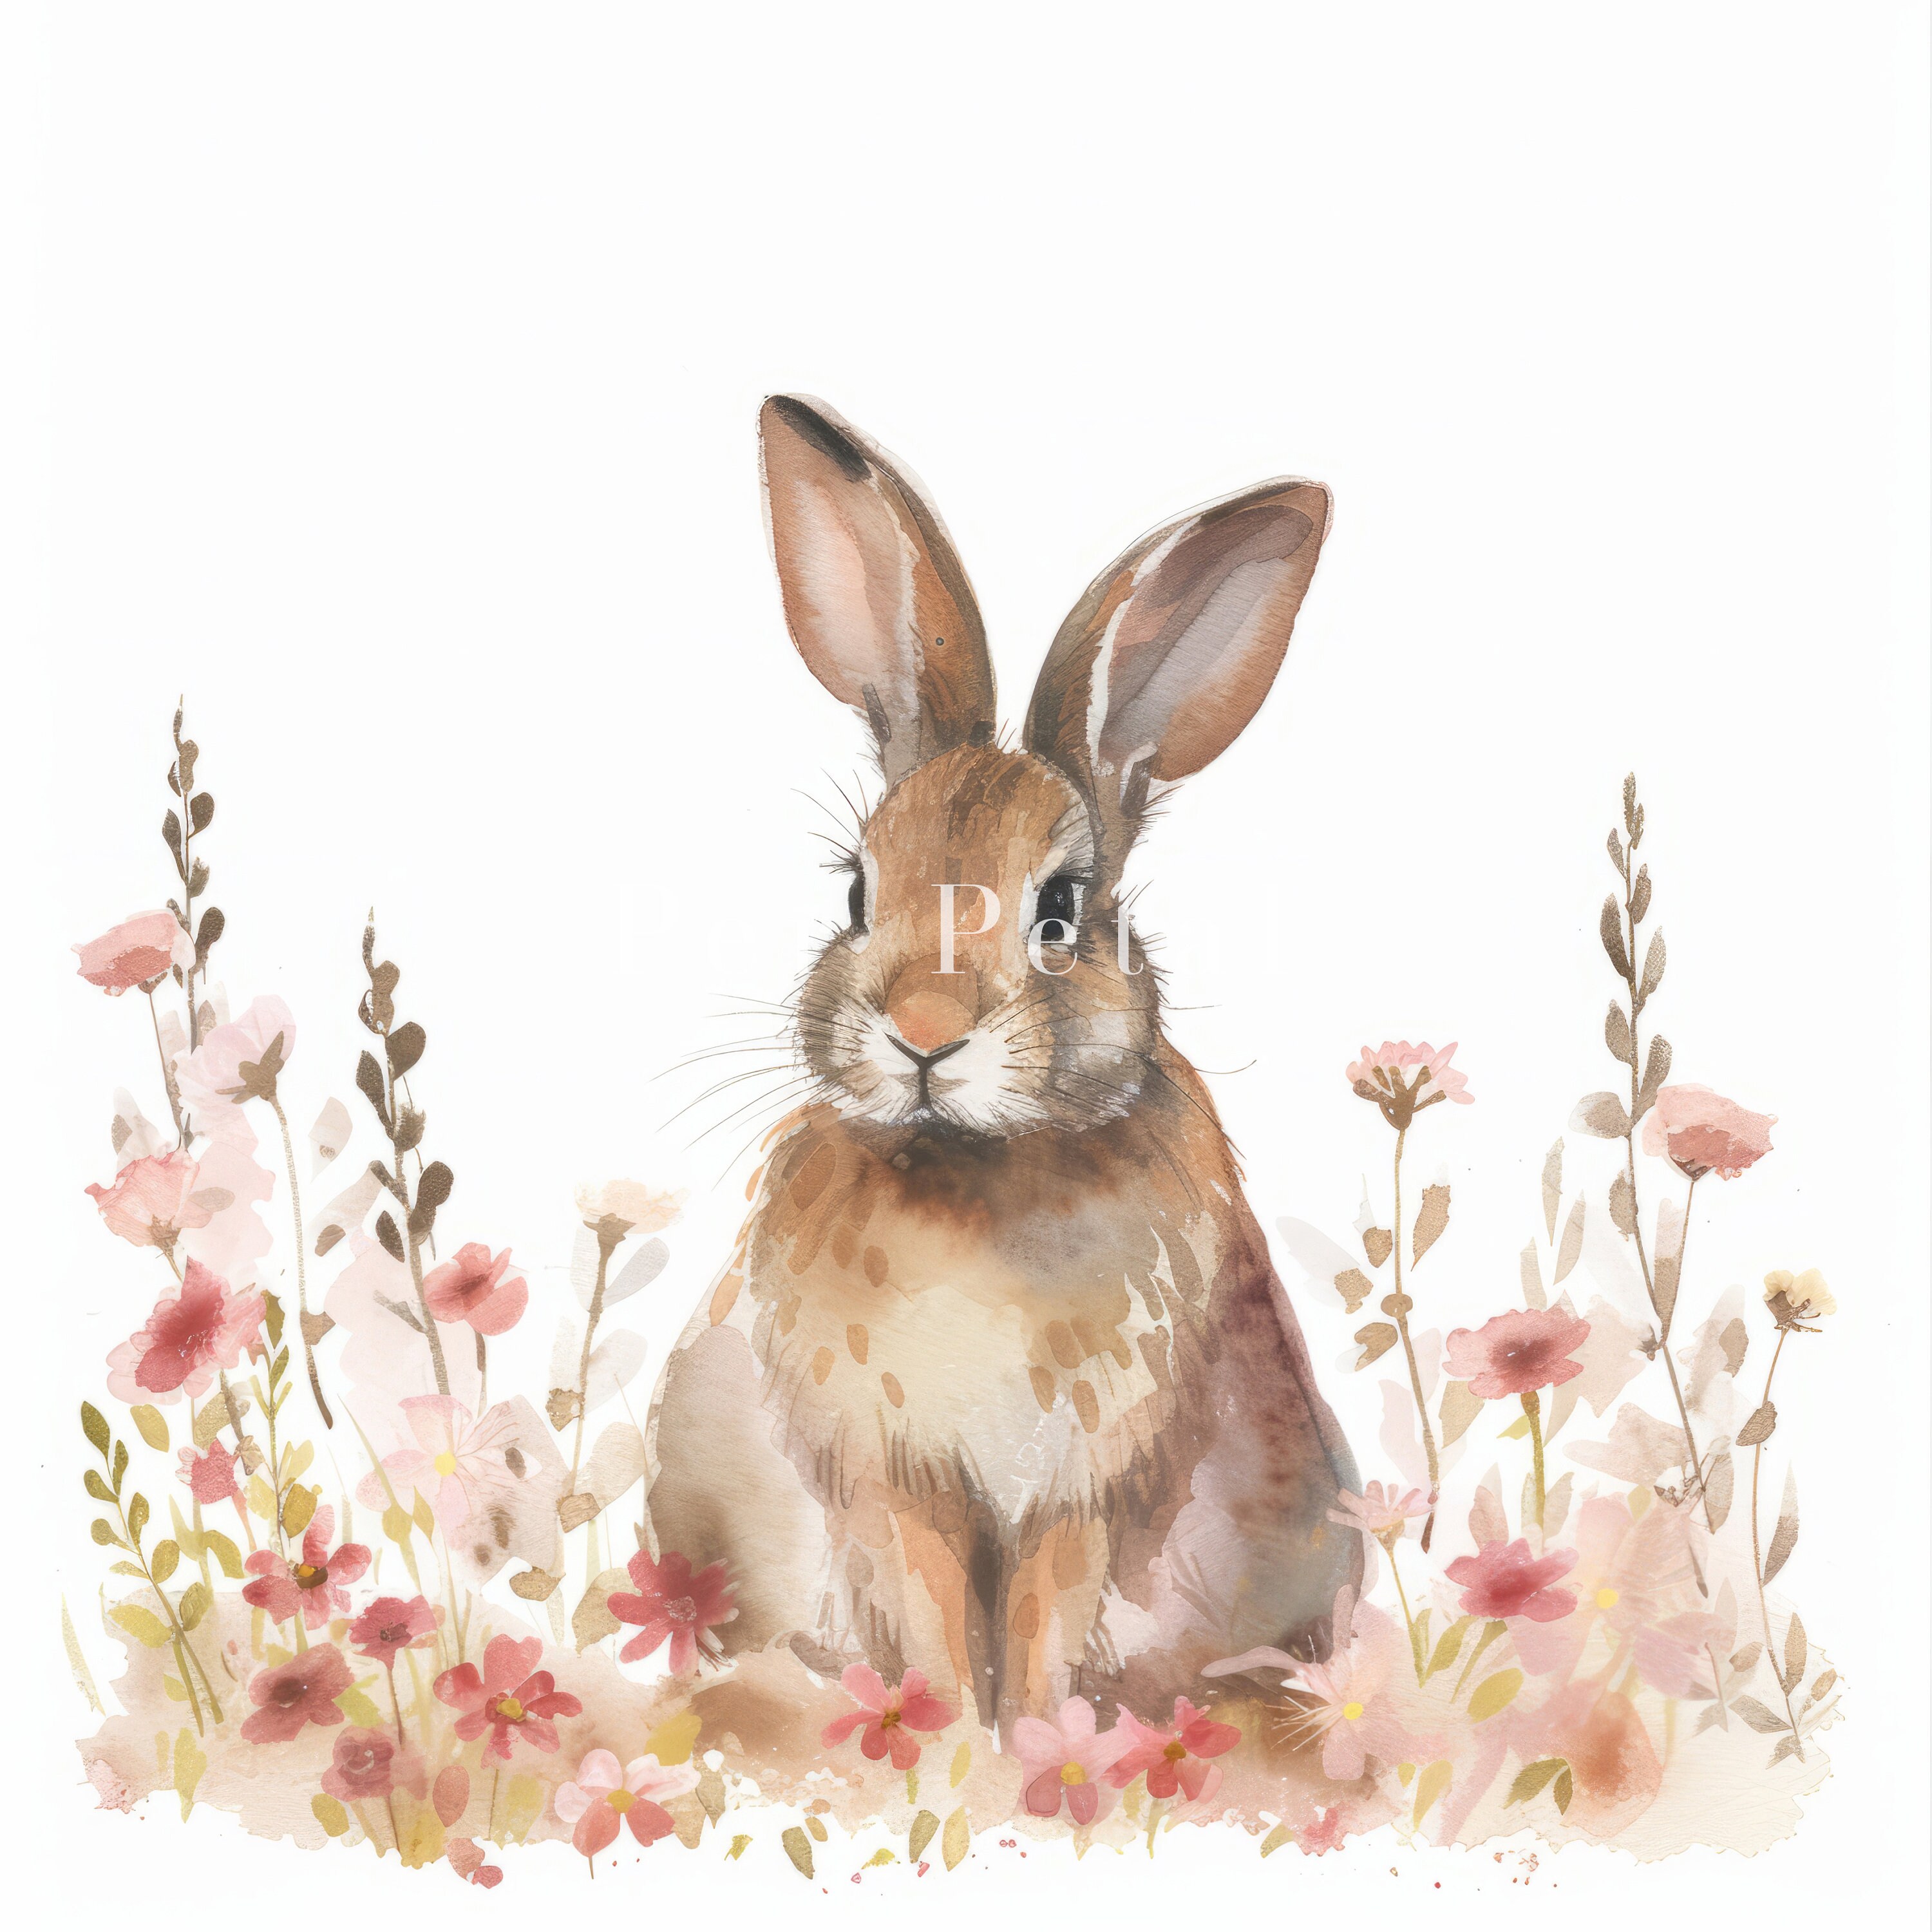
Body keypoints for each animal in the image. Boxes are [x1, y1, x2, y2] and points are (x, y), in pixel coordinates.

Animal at [642, 395, 1362, 1736]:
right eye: (857, 891)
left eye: (1062, 909)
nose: (925, 1031)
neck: (972, 1169)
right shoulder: (891, 1477)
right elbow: (933, 1624)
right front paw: (937, 1743)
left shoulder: (1083, 1492)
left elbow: (1039, 1631)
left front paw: (1029, 1747)